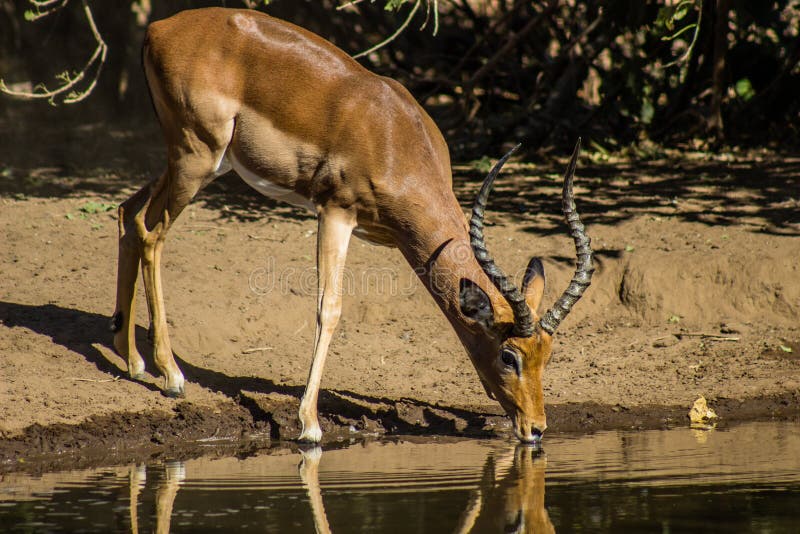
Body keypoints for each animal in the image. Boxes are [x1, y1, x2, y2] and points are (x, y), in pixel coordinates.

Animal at [110, 7, 593, 444]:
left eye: (548, 355)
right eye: (509, 356)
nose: (536, 429)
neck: (394, 139)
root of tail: (160, 28)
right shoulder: (335, 212)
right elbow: (330, 308)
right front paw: (309, 424)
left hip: (196, 163)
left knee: (128, 213)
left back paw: (131, 359)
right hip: (196, 159)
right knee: (152, 235)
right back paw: (171, 375)